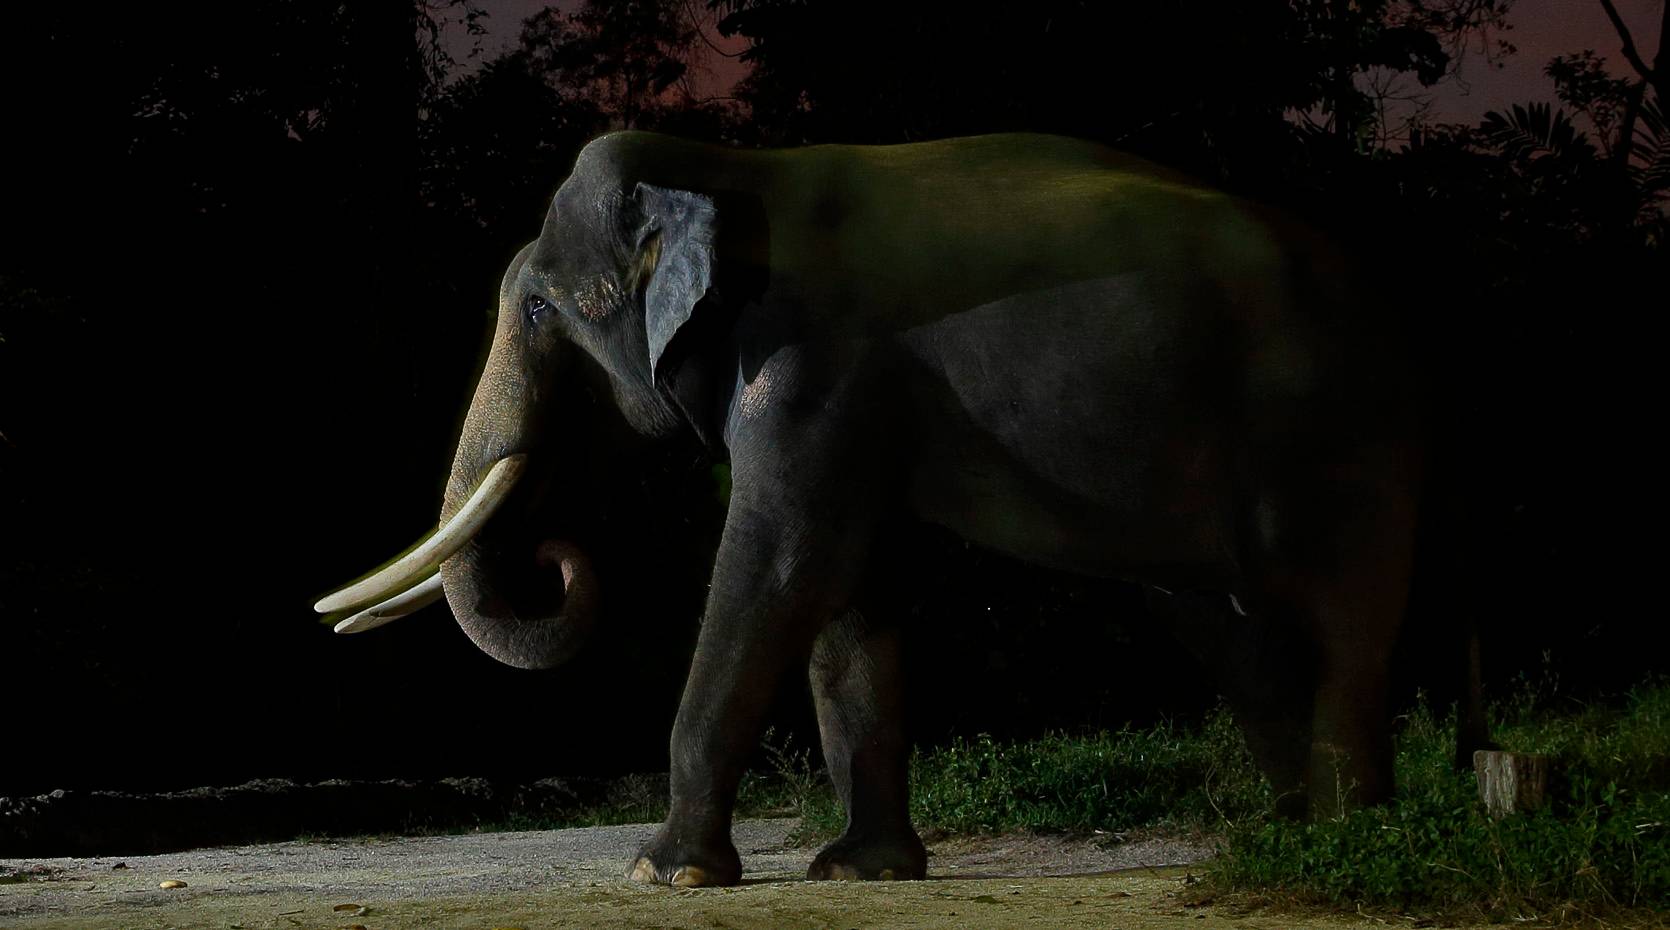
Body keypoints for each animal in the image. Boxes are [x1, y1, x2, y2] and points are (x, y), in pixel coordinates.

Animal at [316, 130, 1428, 886]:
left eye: (542, 307)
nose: (556, 555)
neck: (729, 167)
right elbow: (851, 586)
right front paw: (862, 871)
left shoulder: (814, 366)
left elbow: (779, 559)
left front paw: (663, 873)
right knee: (1227, 623)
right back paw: (1295, 828)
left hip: (1332, 426)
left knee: (1340, 615)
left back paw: (1351, 835)